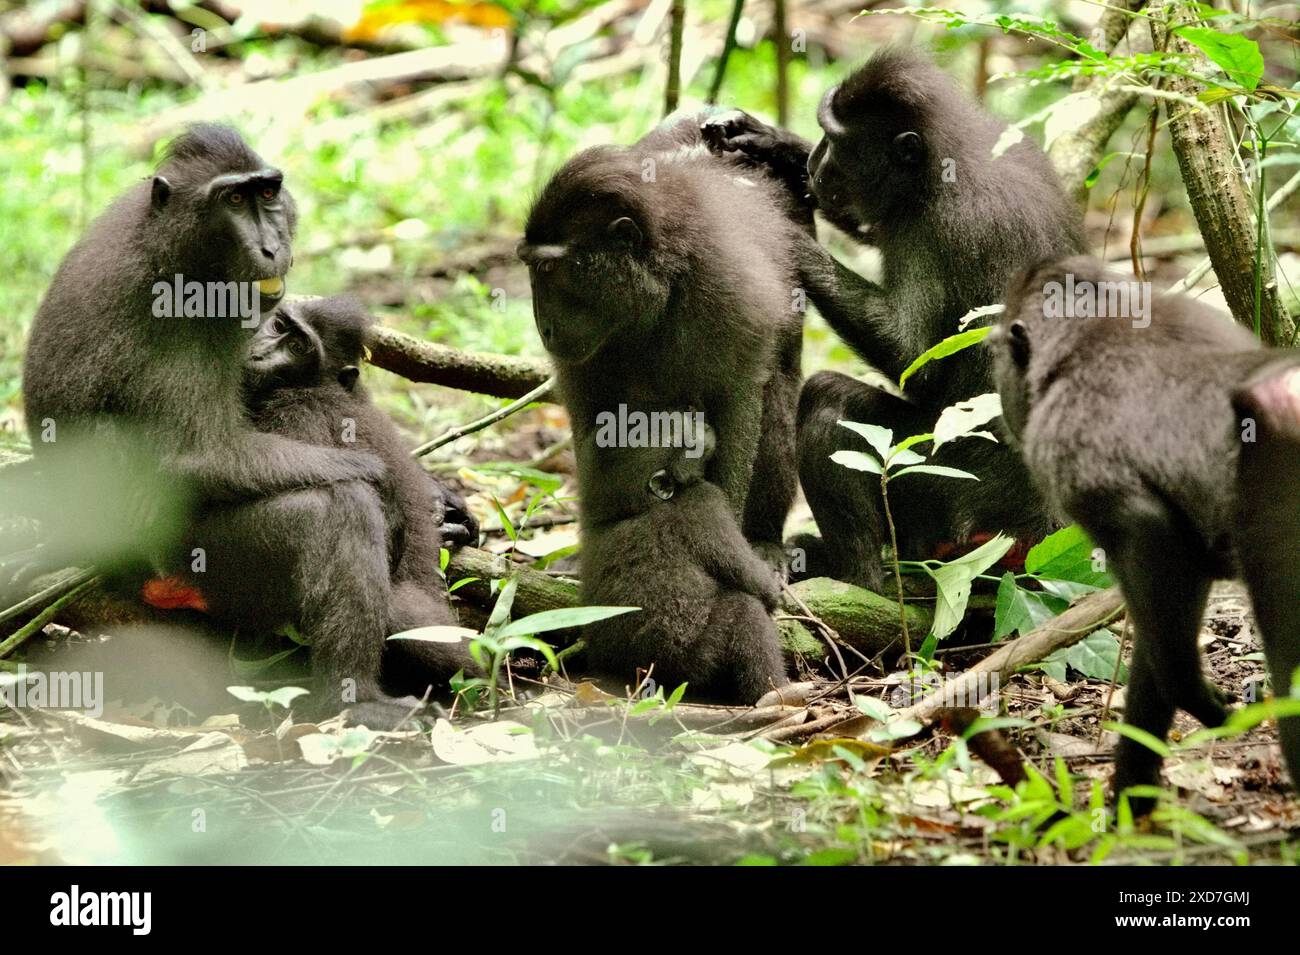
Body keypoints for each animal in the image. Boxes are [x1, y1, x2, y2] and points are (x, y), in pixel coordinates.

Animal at [21, 125, 420, 727]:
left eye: (268, 193)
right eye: (233, 200)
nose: (272, 247)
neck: (166, 241)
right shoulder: (182, 310)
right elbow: (201, 454)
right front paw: (379, 476)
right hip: (189, 556)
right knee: (335, 510)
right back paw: (353, 696)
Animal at [519, 111, 807, 572]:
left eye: (547, 269)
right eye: (531, 268)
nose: (542, 326)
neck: (660, 285)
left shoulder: (726, 295)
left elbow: (739, 405)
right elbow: (593, 419)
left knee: (777, 390)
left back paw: (763, 539)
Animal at [579, 420, 788, 703]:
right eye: (688, 442)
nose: (705, 426)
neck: (635, 509)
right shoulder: (704, 502)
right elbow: (754, 580)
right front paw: (774, 589)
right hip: (695, 660)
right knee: (746, 611)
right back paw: (776, 695)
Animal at [703, 48, 1086, 590]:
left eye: (836, 142)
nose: (815, 163)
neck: (942, 165)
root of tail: (1036, 530)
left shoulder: (941, 227)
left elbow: (915, 360)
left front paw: (782, 232)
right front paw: (766, 138)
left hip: (943, 489)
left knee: (829, 407)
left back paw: (857, 580)